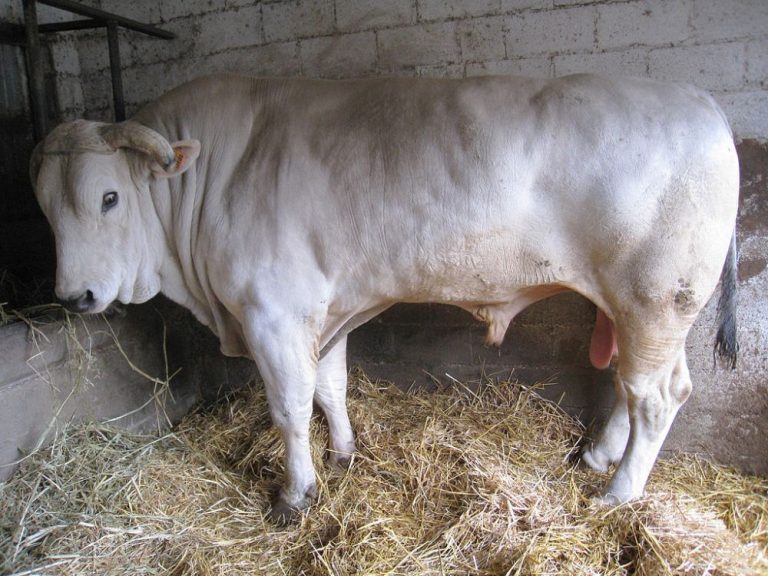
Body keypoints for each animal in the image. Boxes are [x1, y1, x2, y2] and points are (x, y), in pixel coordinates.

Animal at [30, 73, 739, 524]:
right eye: (44, 207)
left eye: (109, 197)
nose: (75, 295)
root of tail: (702, 101)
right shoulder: (327, 308)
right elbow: (331, 384)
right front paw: (344, 453)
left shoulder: (273, 313)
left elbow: (290, 407)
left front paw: (295, 493)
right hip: (637, 309)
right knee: (632, 384)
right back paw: (597, 455)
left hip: (655, 297)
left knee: (657, 396)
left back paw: (618, 494)